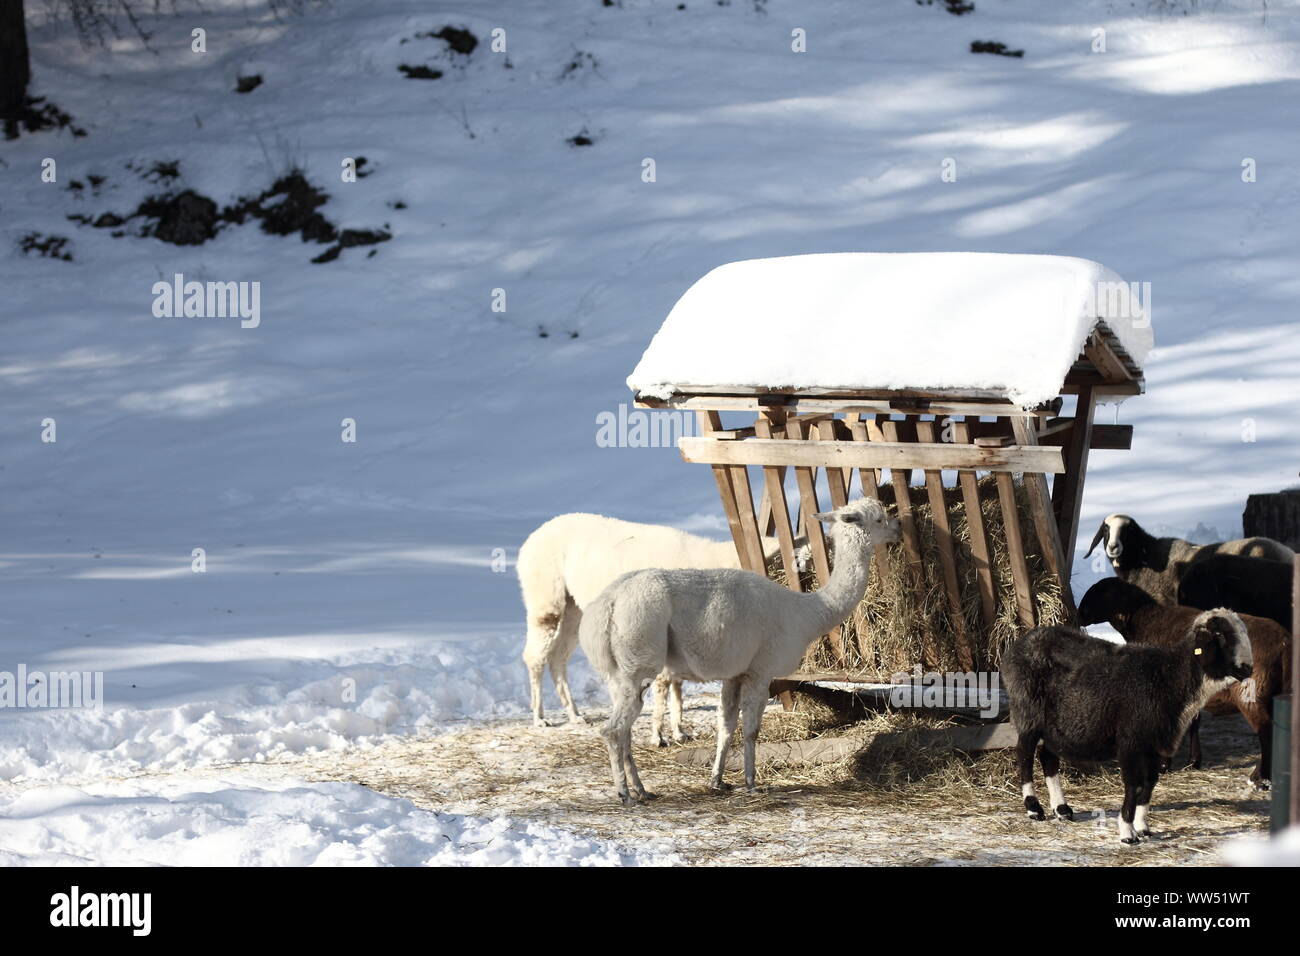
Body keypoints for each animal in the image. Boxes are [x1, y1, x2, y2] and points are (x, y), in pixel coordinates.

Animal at [516, 512, 794, 743]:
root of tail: (531, 539)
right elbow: (664, 682)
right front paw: (659, 736)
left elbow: (677, 684)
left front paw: (679, 732)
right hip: (546, 595)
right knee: (535, 655)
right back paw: (540, 718)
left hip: (575, 607)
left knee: (558, 656)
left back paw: (574, 714)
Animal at [577, 497, 899, 805]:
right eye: (879, 519)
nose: (897, 529)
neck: (807, 612)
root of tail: (607, 606)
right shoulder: (760, 670)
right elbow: (751, 730)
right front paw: (751, 783)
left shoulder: (734, 673)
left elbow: (726, 725)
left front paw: (717, 780)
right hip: (638, 661)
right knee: (613, 730)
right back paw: (625, 794)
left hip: (619, 674)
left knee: (625, 731)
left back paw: (642, 790)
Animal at [1002, 610, 1253, 844]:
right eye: (1220, 635)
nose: (1248, 668)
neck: (1169, 678)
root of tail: (1022, 642)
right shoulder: (1131, 743)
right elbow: (1134, 786)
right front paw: (1127, 833)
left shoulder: (1154, 745)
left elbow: (1149, 784)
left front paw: (1143, 827)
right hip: (1028, 711)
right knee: (1024, 754)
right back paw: (1033, 808)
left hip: (1055, 725)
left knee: (1048, 757)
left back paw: (1061, 809)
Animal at [1079, 577, 1291, 788]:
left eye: (1102, 592)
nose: (1080, 615)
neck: (1145, 621)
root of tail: (1283, 642)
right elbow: (1193, 722)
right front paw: (1194, 761)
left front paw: (1163, 765)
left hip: (1251, 693)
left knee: (1266, 731)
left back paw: (1259, 778)